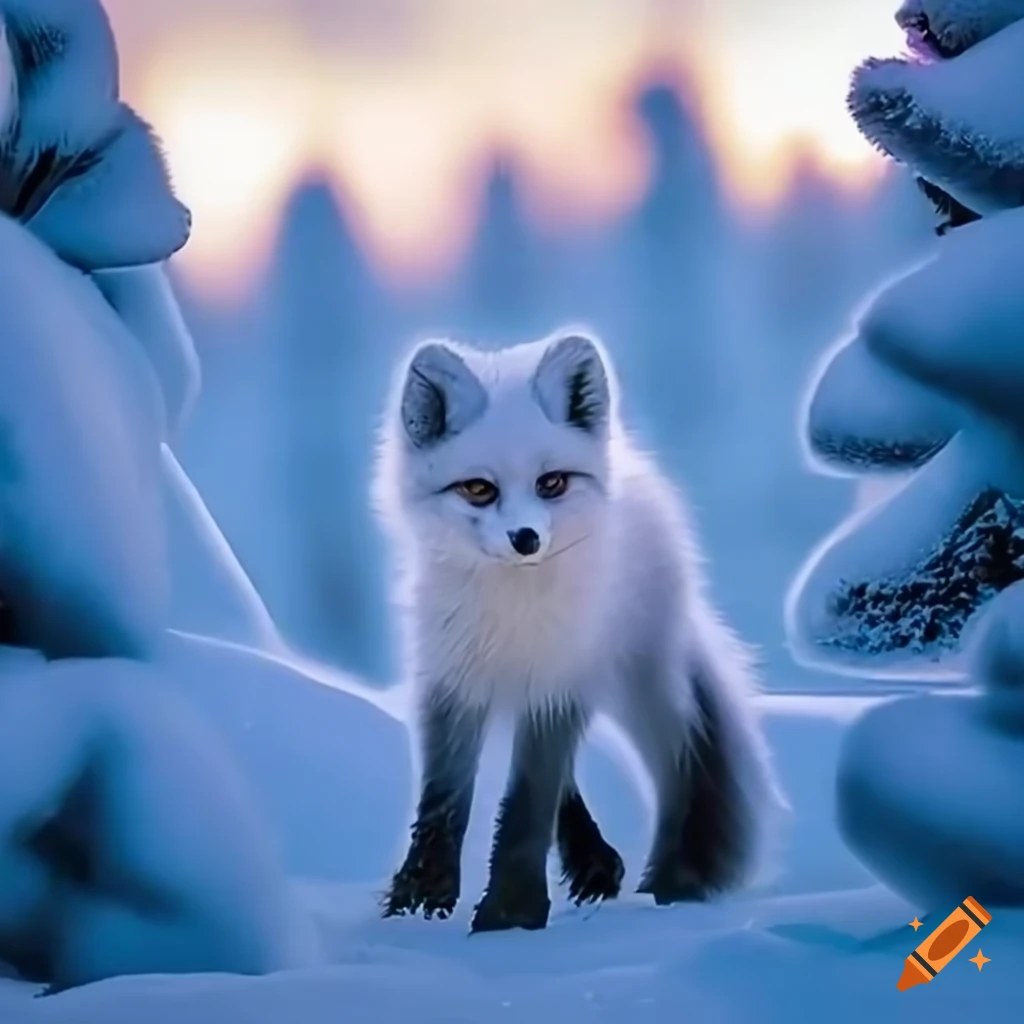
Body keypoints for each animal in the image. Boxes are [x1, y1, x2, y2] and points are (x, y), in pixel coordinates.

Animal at [374, 328, 782, 933]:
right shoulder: (451, 684)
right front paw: (420, 900)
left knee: (679, 759)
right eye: (478, 489)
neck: (512, 615)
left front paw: (509, 914)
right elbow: (442, 802)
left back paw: (671, 881)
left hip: (641, 685)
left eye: (552, 483)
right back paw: (596, 862)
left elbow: (528, 804)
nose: (526, 539)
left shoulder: (557, 686)